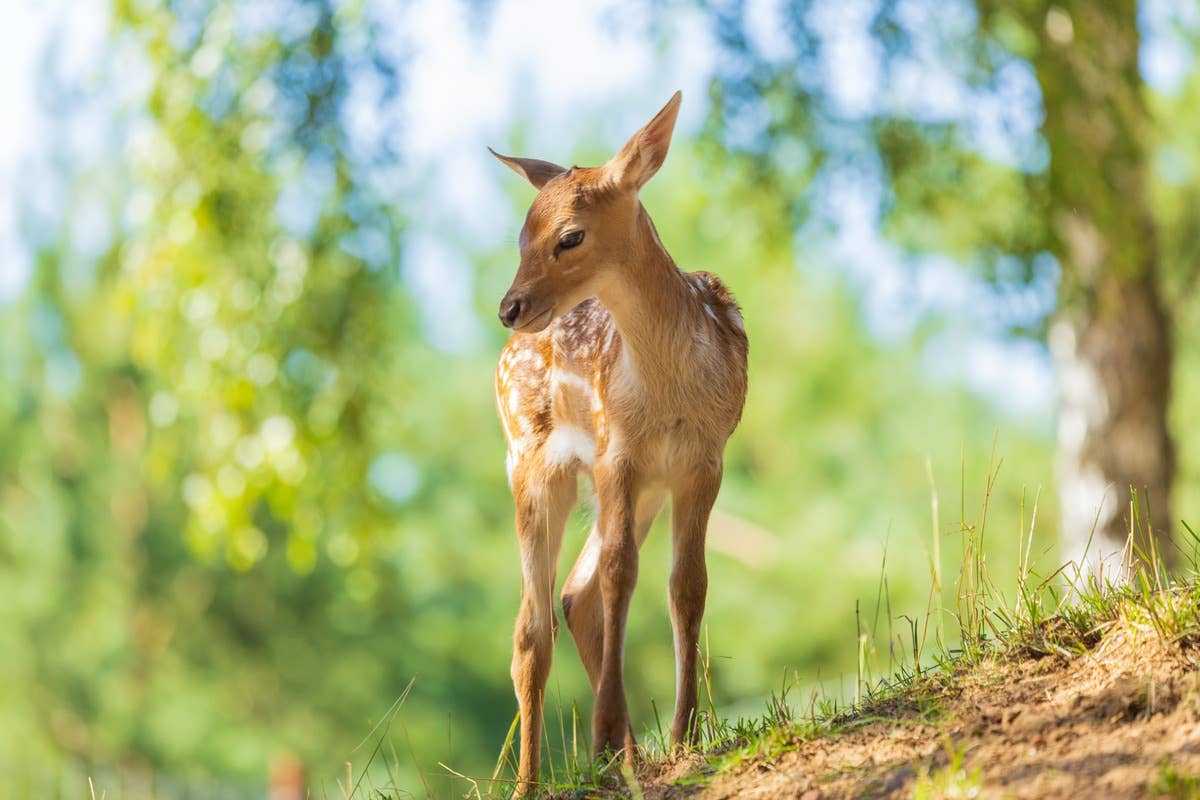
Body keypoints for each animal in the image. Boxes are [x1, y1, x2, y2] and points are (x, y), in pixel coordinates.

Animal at [489, 91, 748, 796]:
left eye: (569, 235)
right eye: (521, 234)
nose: (510, 306)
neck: (670, 389)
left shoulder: (702, 461)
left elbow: (687, 585)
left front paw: (685, 737)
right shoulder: (618, 453)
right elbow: (620, 575)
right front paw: (611, 733)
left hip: (637, 484)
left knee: (575, 599)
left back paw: (626, 760)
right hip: (531, 462)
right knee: (533, 628)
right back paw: (534, 781)